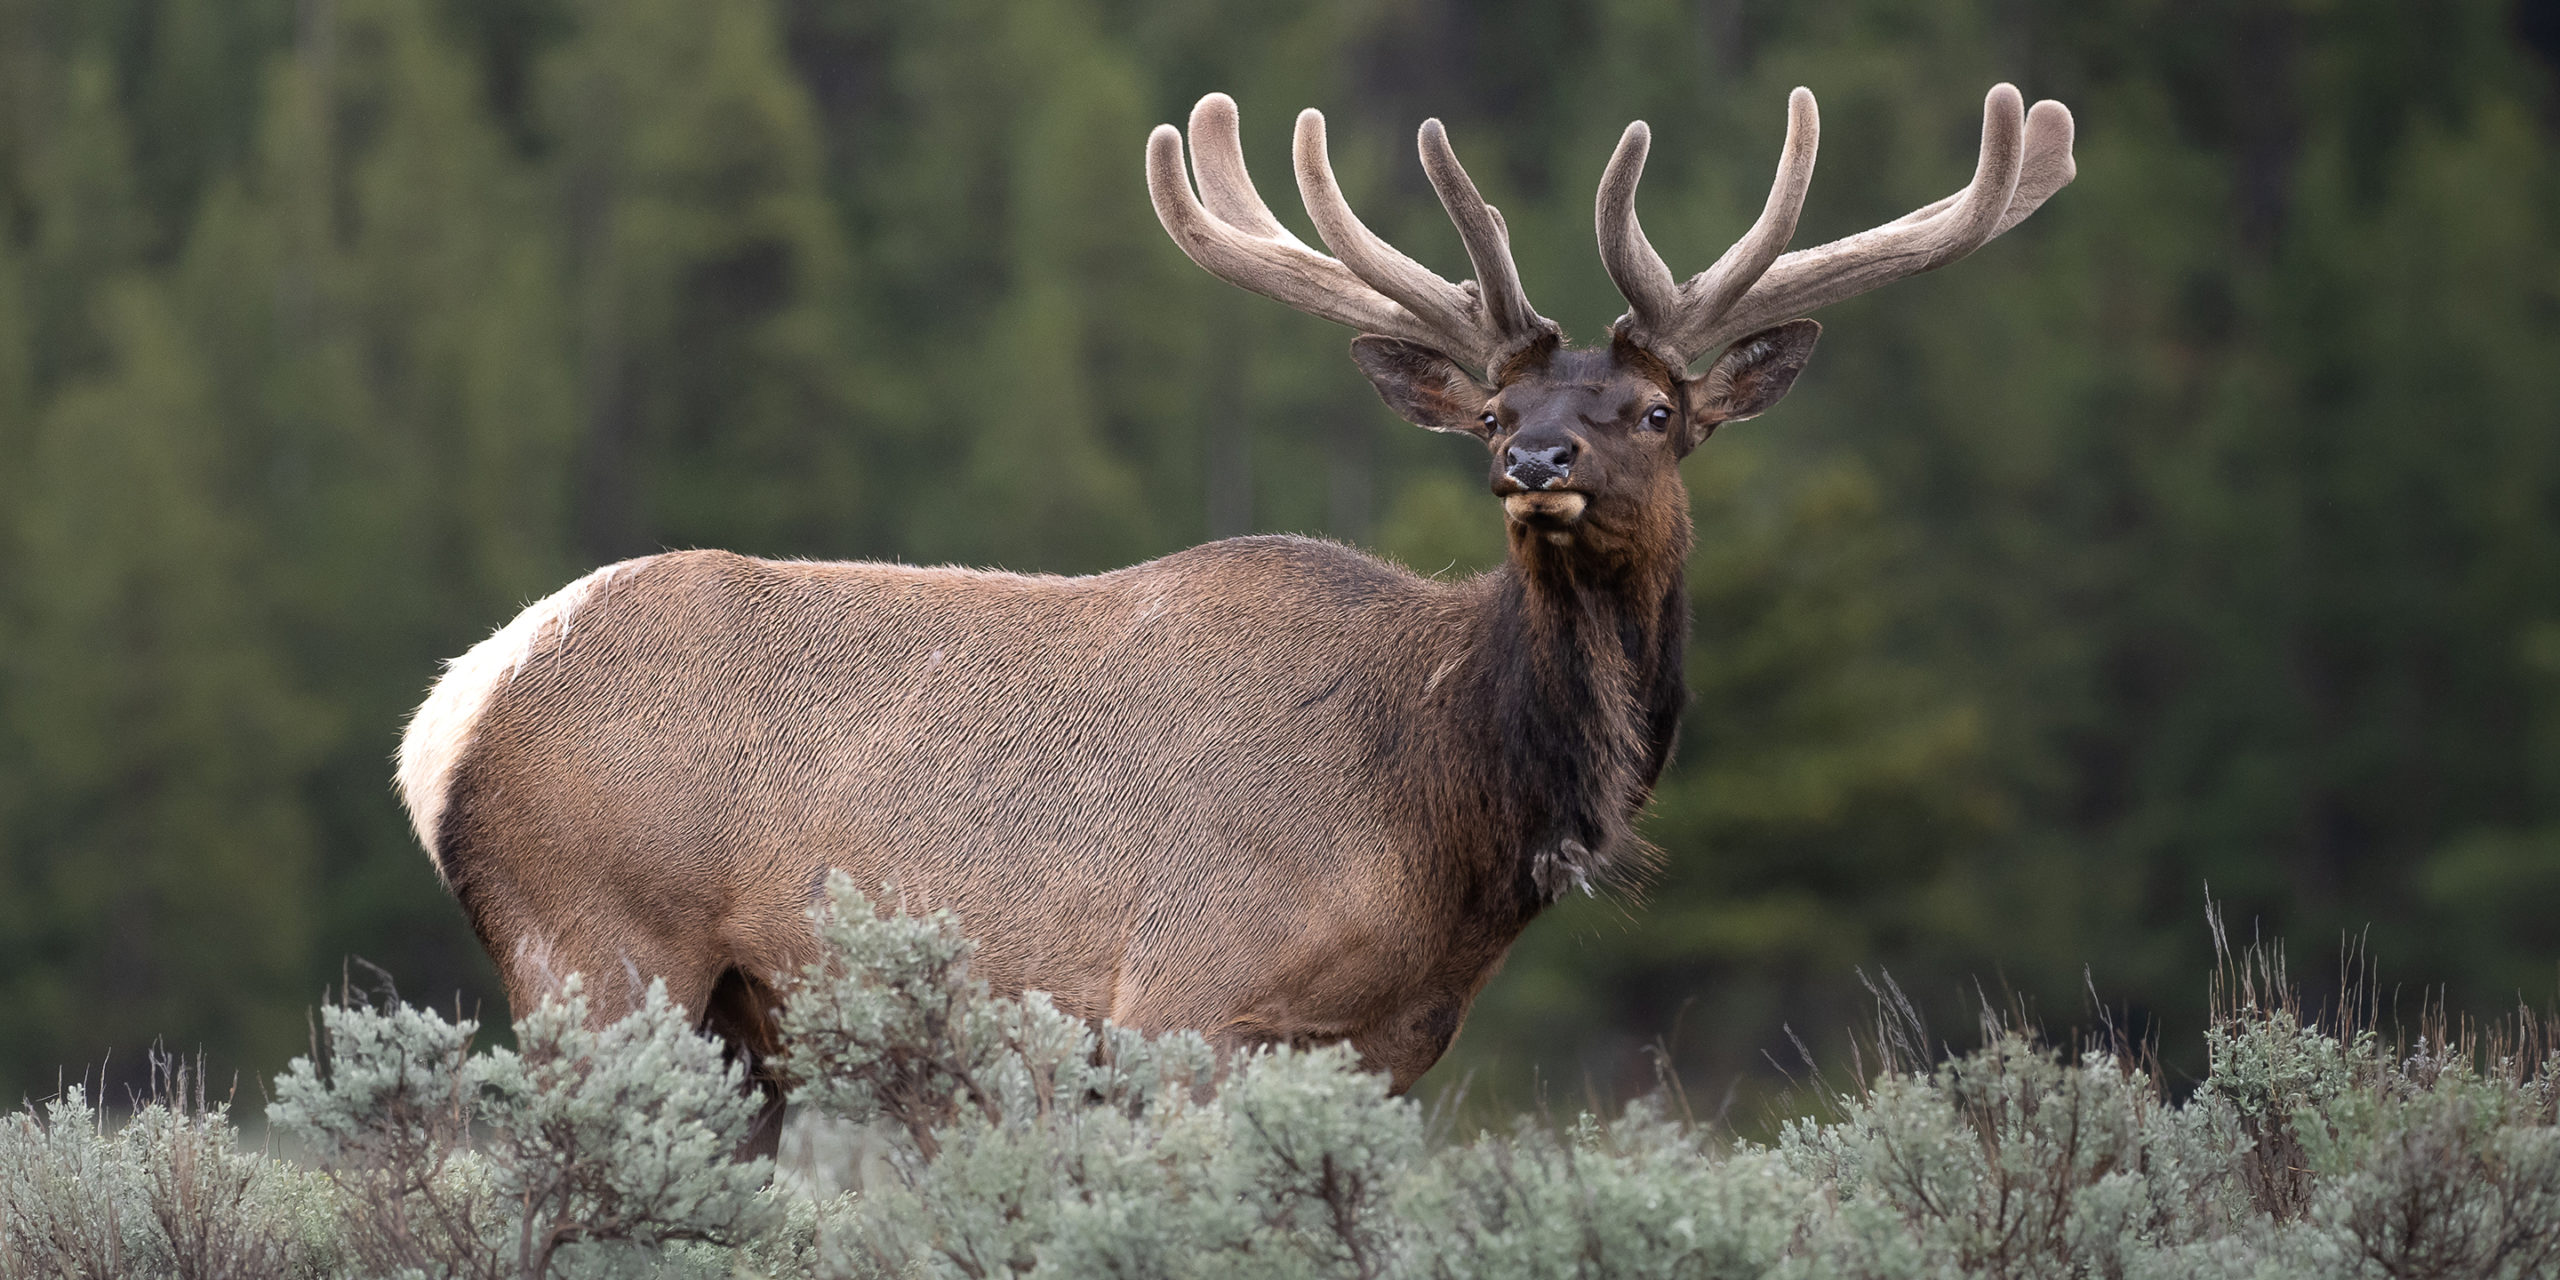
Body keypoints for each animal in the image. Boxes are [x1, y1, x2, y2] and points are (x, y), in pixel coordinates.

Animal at [397, 83, 2074, 1147]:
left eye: (1657, 412)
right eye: (1493, 412)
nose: (1535, 463)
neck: (1445, 813)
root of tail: (449, 717)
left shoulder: (1393, 1047)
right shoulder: (1181, 996)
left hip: (734, 1029)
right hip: (596, 946)